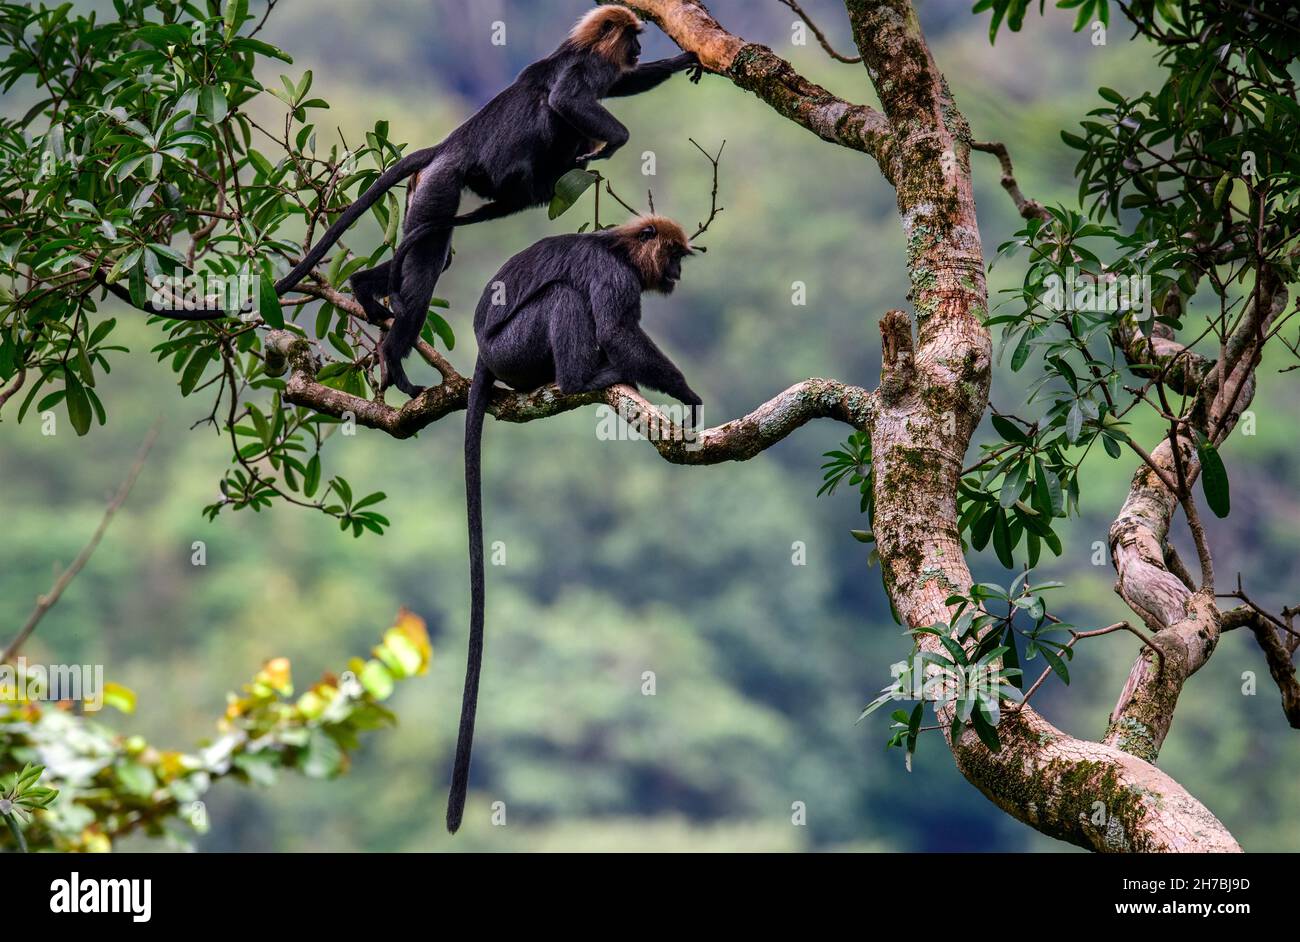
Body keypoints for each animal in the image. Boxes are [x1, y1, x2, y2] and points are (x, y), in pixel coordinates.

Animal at [272, 6, 704, 398]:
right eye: (633, 39)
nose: (638, 50)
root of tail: (447, 146)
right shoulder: (590, 67)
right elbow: (566, 101)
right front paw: (613, 143)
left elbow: (621, 84)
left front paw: (684, 59)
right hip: (443, 183)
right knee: (429, 263)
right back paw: (394, 357)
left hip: (422, 191)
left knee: (428, 251)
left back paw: (363, 288)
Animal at [447, 214, 701, 833]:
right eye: (674, 256)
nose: (679, 274)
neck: (621, 249)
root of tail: (483, 352)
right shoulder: (616, 279)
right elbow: (617, 330)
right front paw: (685, 391)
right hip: (516, 348)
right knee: (565, 299)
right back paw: (581, 377)